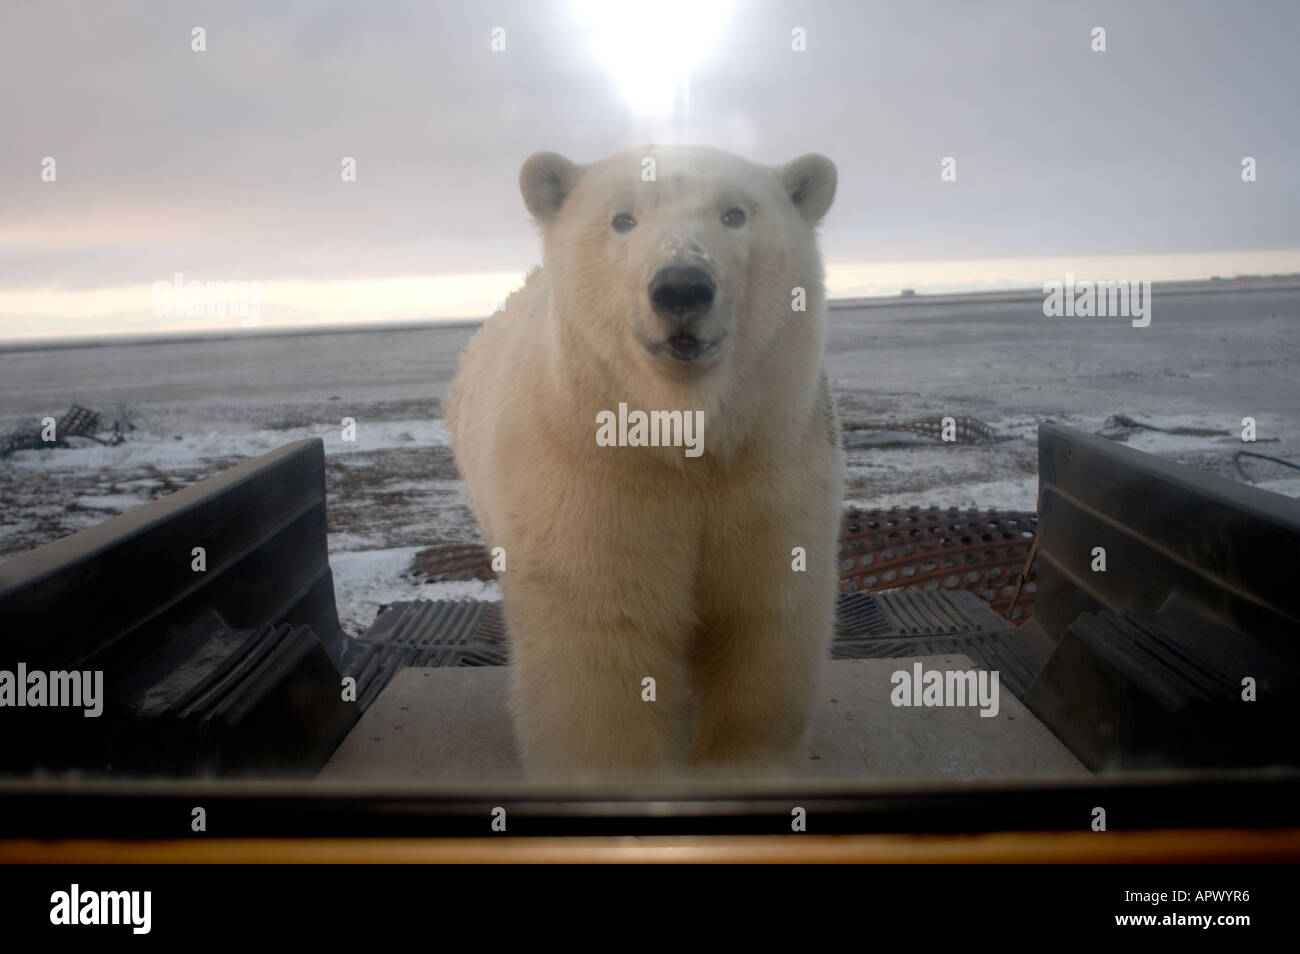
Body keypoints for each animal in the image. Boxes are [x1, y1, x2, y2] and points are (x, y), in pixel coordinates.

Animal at [445, 145, 844, 780]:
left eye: (735, 214)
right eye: (623, 219)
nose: (682, 287)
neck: (679, 437)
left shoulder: (771, 465)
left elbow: (760, 620)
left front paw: (741, 766)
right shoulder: (588, 475)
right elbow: (601, 638)